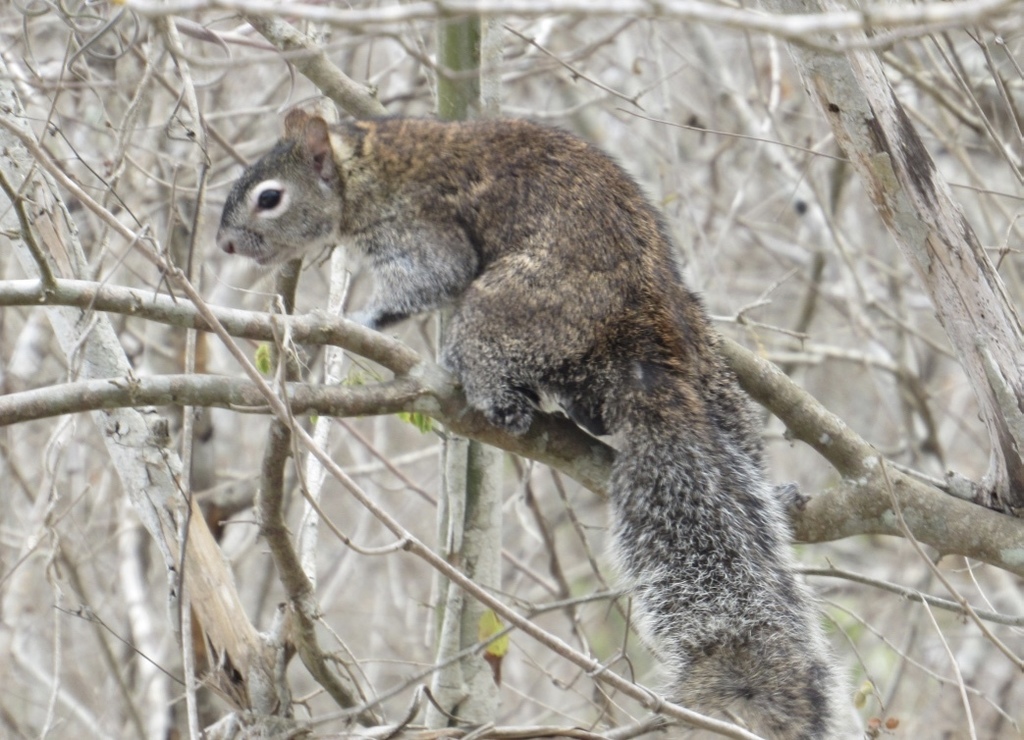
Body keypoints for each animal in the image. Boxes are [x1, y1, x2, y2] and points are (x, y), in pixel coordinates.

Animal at [217, 109, 843, 739]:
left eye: (269, 197)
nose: (224, 243)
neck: (367, 164)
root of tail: (643, 346)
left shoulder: (418, 226)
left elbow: (432, 276)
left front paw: (362, 316)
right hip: (703, 363)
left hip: (504, 308)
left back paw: (493, 393)